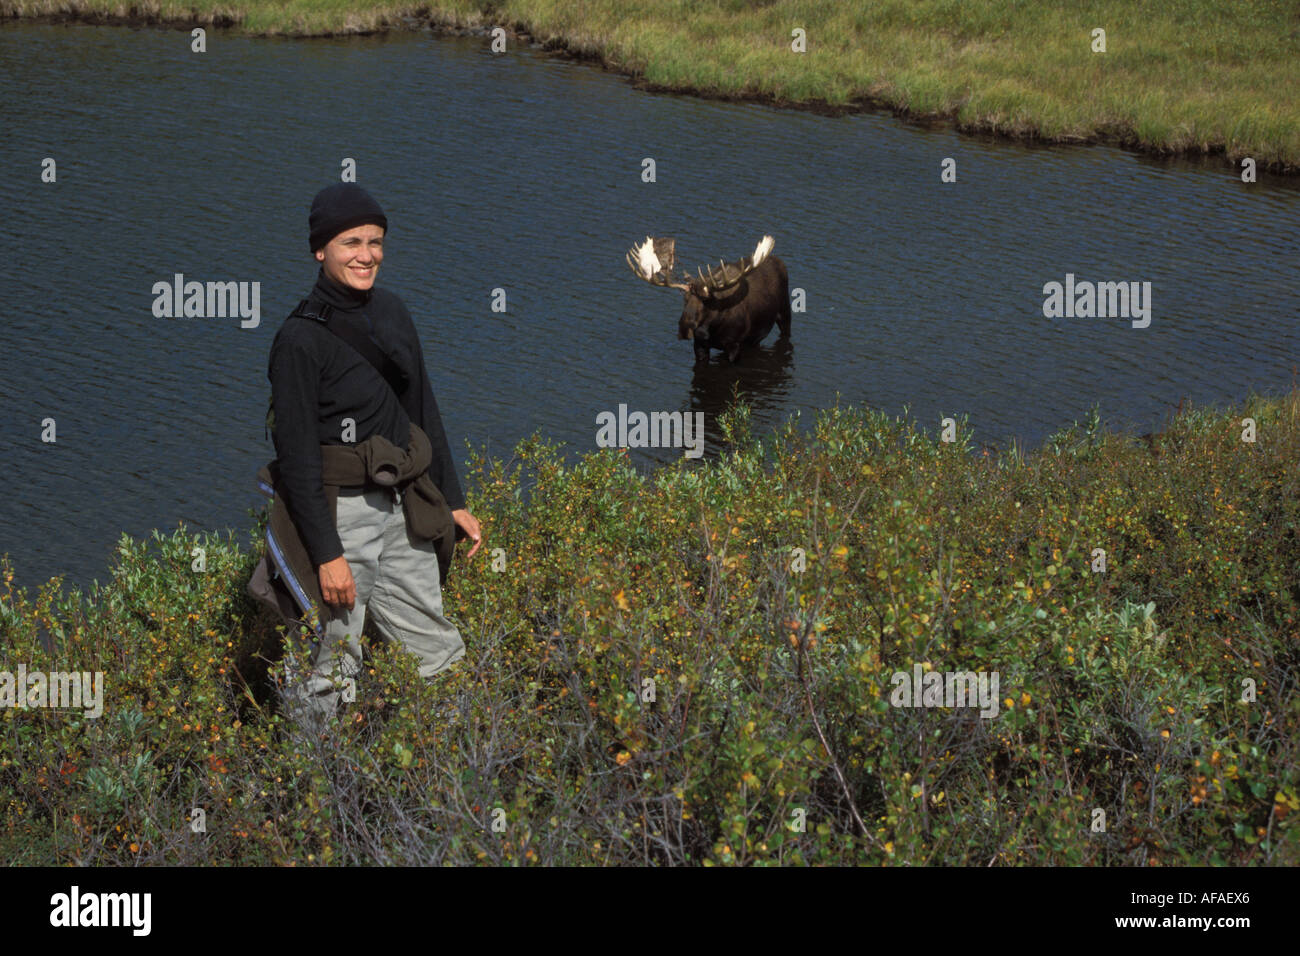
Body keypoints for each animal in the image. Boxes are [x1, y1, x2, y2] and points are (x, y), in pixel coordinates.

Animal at [626, 234, 791, 363]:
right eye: (684, 299)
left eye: (706, 301)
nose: (684, 328)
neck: (712, 328)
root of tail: (779, 261)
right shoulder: (700, 346)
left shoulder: (735, 345)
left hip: (784, 312)